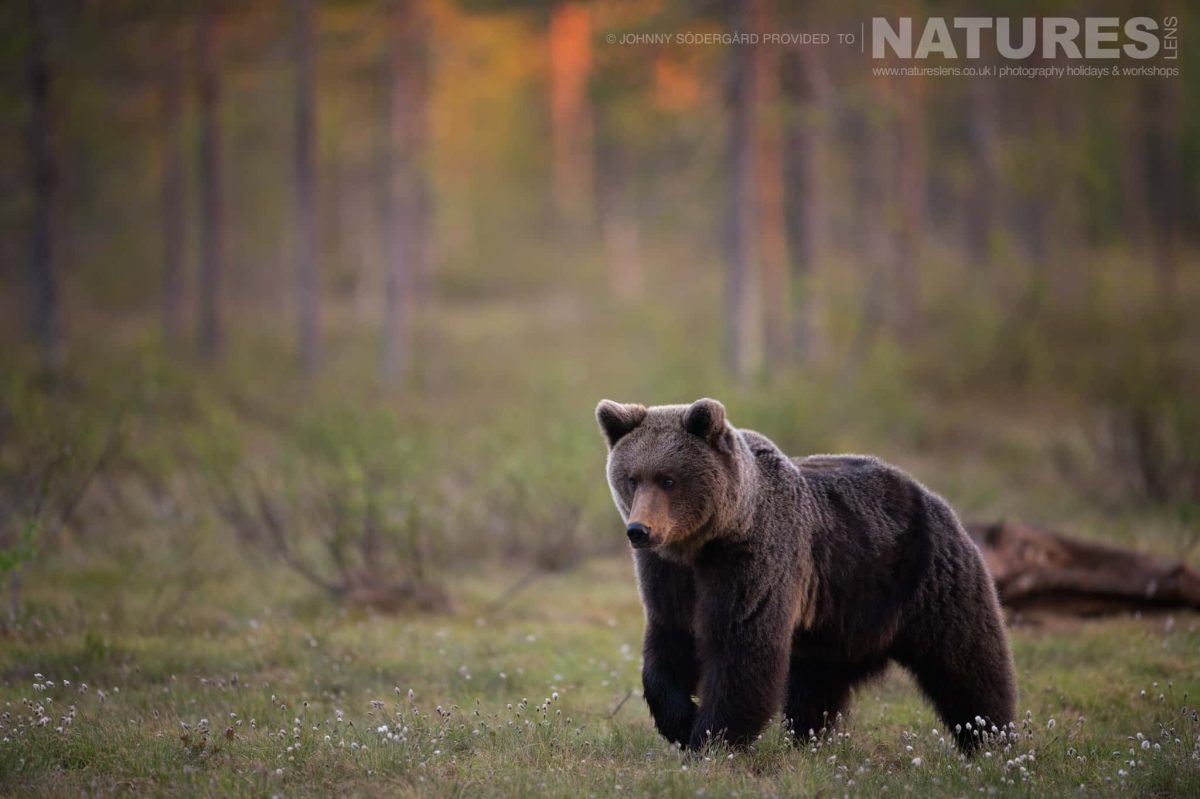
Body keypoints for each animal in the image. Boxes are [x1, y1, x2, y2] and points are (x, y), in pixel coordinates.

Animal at [595, 397, 1016, 753]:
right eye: (632, 478)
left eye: (668, 479)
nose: (639, 530)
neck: (707, 540)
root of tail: (933, 498)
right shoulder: (669, 574)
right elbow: (671, 640)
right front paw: (680, 721)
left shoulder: (755, 558)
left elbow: (743, 647)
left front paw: (711, 738)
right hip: (839, 622)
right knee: (814, 687)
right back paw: (806, 739)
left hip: (925, 581)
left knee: (969, 666)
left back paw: (991, 741)